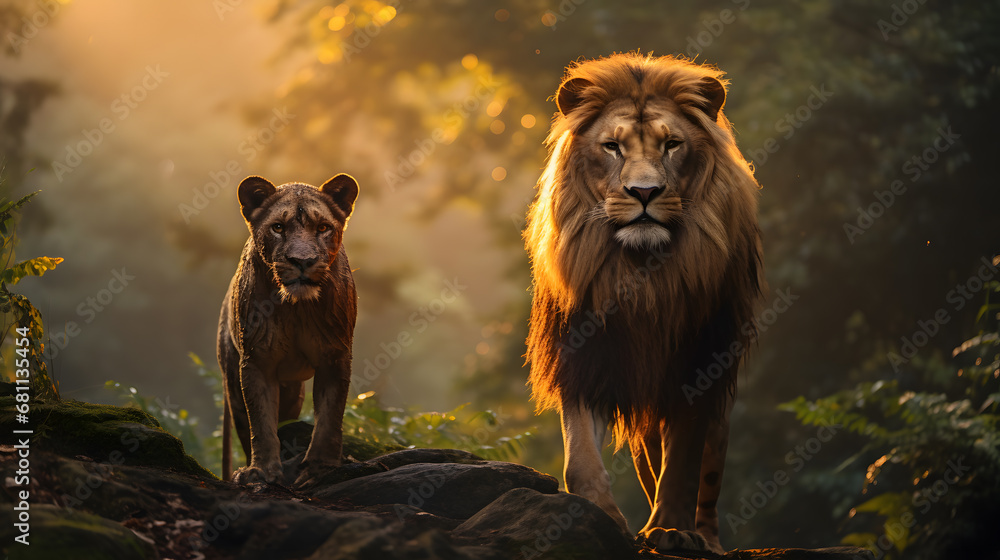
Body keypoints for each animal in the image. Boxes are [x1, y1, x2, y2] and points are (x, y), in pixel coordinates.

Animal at [217, 174, 359, 486]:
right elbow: (260, 423)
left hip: (293, 395)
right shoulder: (256, 361)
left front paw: (321, 467)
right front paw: (261, 470)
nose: (302, 261)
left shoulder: (335, 356)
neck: (296, 308)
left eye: (323, 228)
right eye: (278, 227)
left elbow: (330, 417)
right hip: (233, 382)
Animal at [524, 53, 763, 554]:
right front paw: (603, 518)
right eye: (612, 147)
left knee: (708, 475)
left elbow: (684, 462)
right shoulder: (584, 356)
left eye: (671, 145)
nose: (645, 192)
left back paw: (705, 538)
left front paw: (670, 530)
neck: (638, 271)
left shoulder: (698, 365)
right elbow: (581, 457)